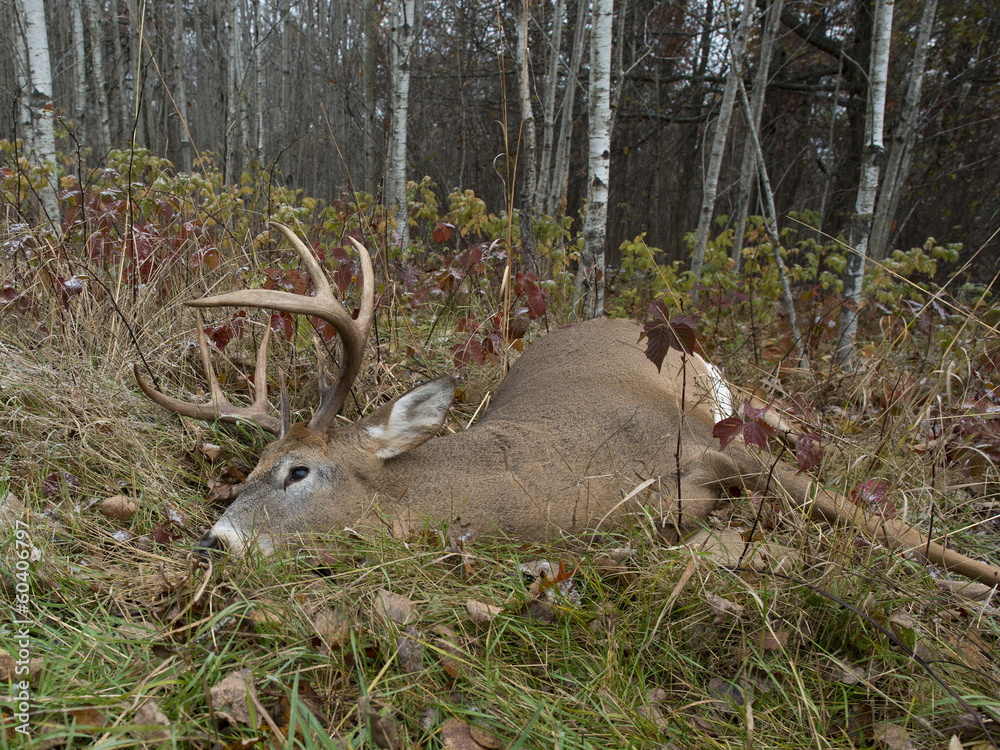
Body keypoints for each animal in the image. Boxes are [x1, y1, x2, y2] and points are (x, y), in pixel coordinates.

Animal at [135, 223, 1000, 588]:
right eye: (252, 465)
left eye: (298, 472)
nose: (213, 541)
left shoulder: (710, 443)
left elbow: (890, 528)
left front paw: (977, 578)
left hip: (728, 394)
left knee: (791, 420)